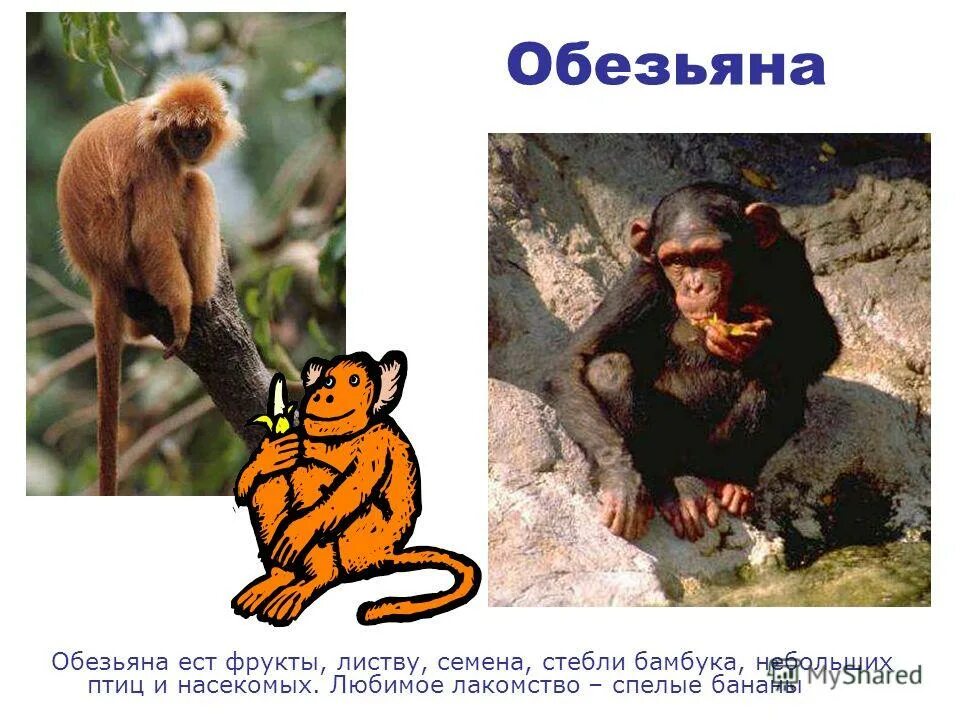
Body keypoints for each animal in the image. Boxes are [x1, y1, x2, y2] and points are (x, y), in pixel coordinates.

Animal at [56, 74, 243, 495]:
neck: (157, 129)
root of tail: (99, 273)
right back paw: (201, 297)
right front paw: (181, 314)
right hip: (130, 264)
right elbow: (150, 236)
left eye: (201, 135)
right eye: (183, 135)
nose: (192, 148)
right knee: (198, 184)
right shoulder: (154, 162)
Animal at [232, 351, 482, 626]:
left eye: (353, 380)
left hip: (363, 537)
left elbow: (351, 489)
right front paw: (268, 456)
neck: (342, 438)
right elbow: (246, 487)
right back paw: (280, 577)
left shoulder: (376, 443)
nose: (324, 395)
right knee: (274, 479)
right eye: (329, 381)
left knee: (309, 476)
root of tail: (386, 555)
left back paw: (315, 579)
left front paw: (298, 531)